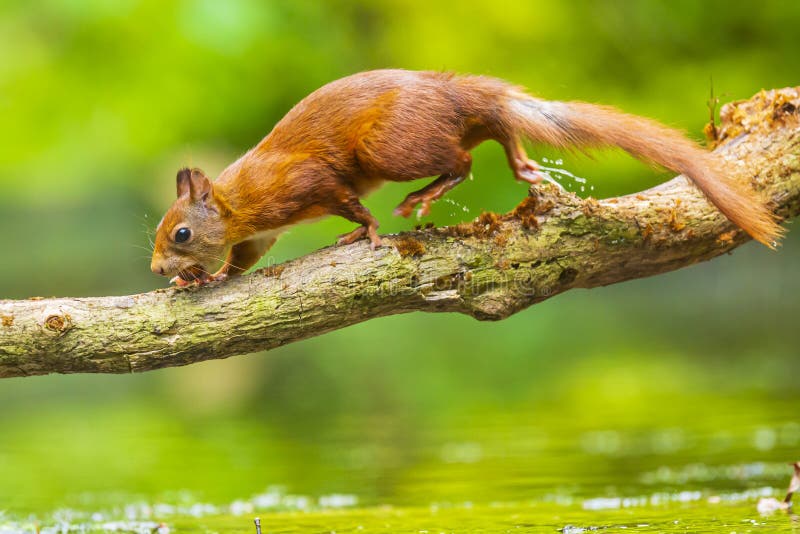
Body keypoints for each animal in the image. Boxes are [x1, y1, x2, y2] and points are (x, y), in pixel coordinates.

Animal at [150, 69, 782, 285]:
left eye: (180, 232)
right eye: (161, 232)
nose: (157, 268)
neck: (236, 203)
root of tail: (455, 90)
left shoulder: (305, 183)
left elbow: (348, 202)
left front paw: (366, 231)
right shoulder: (258, 236)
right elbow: (242, 262)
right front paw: (204, 279)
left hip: (391, 148)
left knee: (464, 159)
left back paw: (424, 195)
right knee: (493, 127)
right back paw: (520, 159)